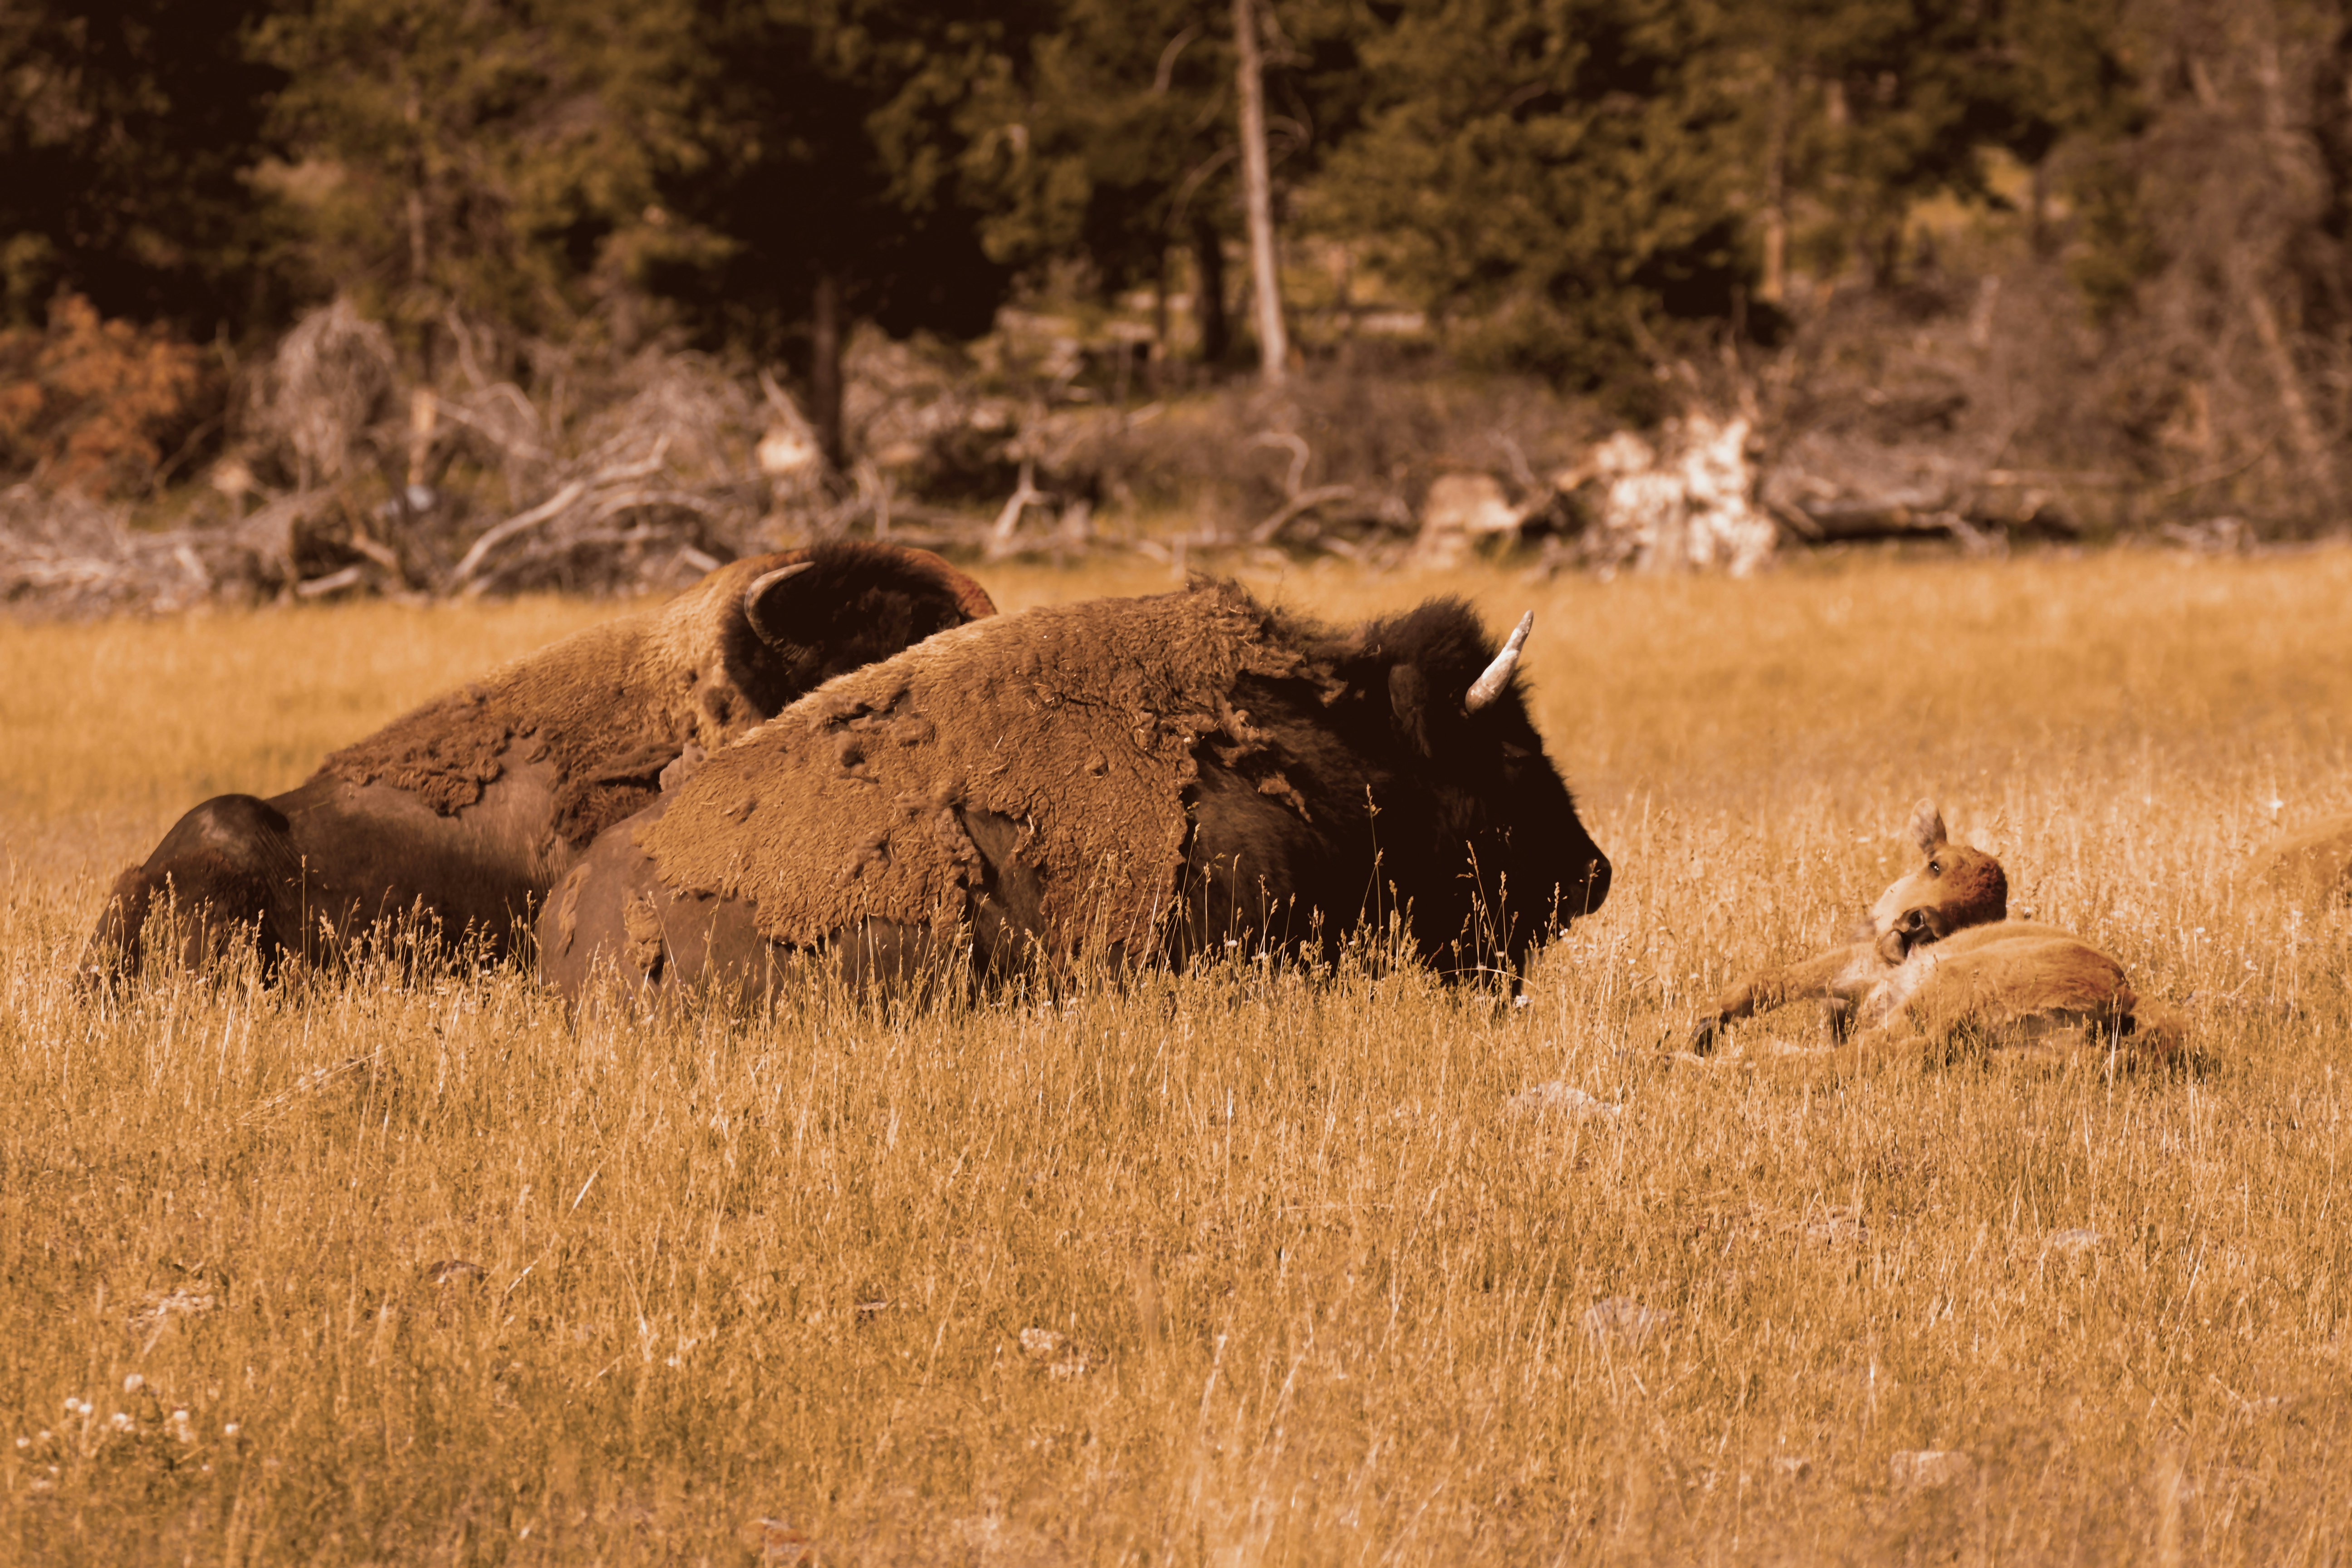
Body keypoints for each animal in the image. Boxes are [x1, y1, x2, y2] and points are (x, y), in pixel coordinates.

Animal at [1682, 801, 2185, 1077]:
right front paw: (1706, 1028)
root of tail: (2127, 994)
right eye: (1935, 865)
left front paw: (1703, 1031)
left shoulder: (1864, 965)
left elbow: (1774, 978)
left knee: (1854, 1058)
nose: (1918, 923)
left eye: (1974, 915)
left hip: (1942, 995)